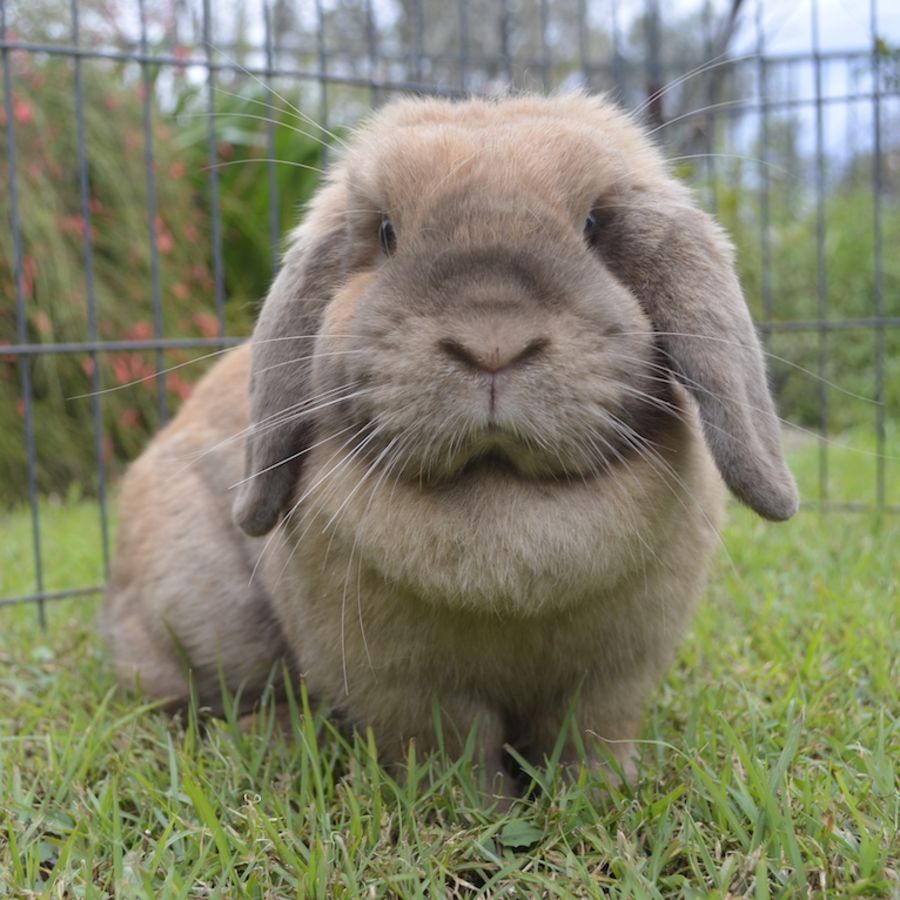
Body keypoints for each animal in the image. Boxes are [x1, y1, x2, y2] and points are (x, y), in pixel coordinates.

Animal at [102, 92, 798, 797]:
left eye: (595, 226)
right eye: (387, 233)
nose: (492, 343)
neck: (499, 495)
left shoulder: (614, 676)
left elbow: (589, 739)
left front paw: (603, 796)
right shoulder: (405, 686)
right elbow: (454, 750)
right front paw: (472, 812)